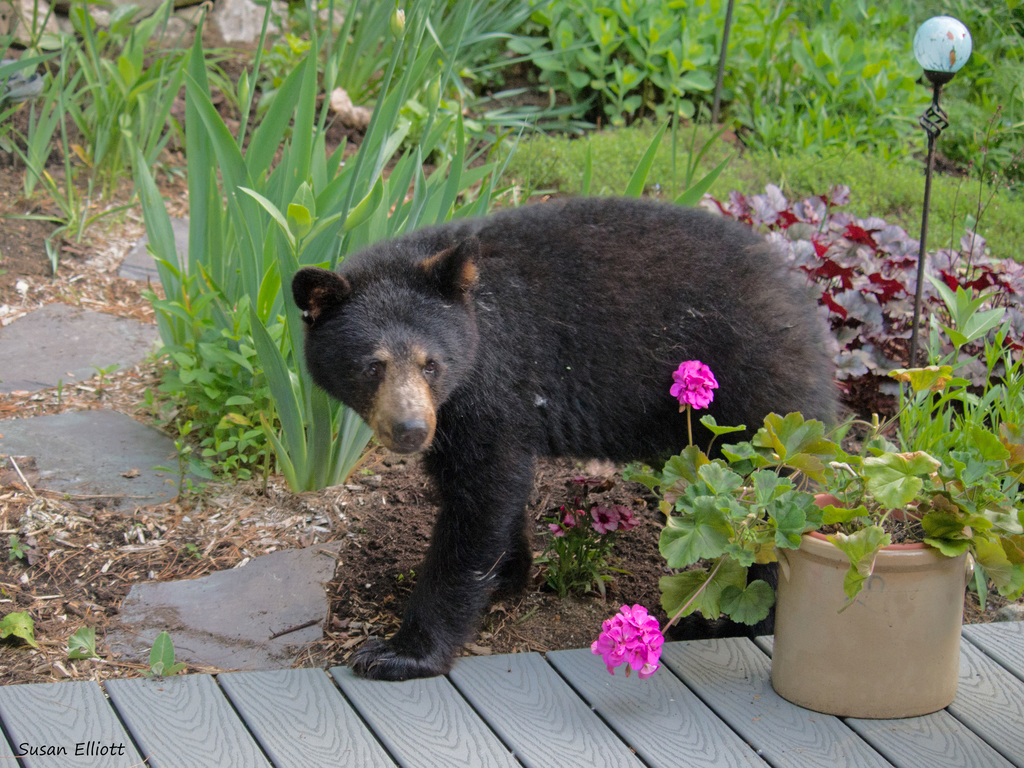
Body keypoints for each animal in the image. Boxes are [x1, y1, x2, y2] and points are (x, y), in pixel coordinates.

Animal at [292, 196, 836, 681]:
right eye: (372, 366)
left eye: (432, 363)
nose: (410, 430)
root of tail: (804, 303)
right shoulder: (458, 414)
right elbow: (486, 489)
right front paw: (507, 573)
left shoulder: (495, 380)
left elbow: (482, 494)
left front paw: (401, 651)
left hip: (754, 399)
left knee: (768, 508)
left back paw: (730, 619)